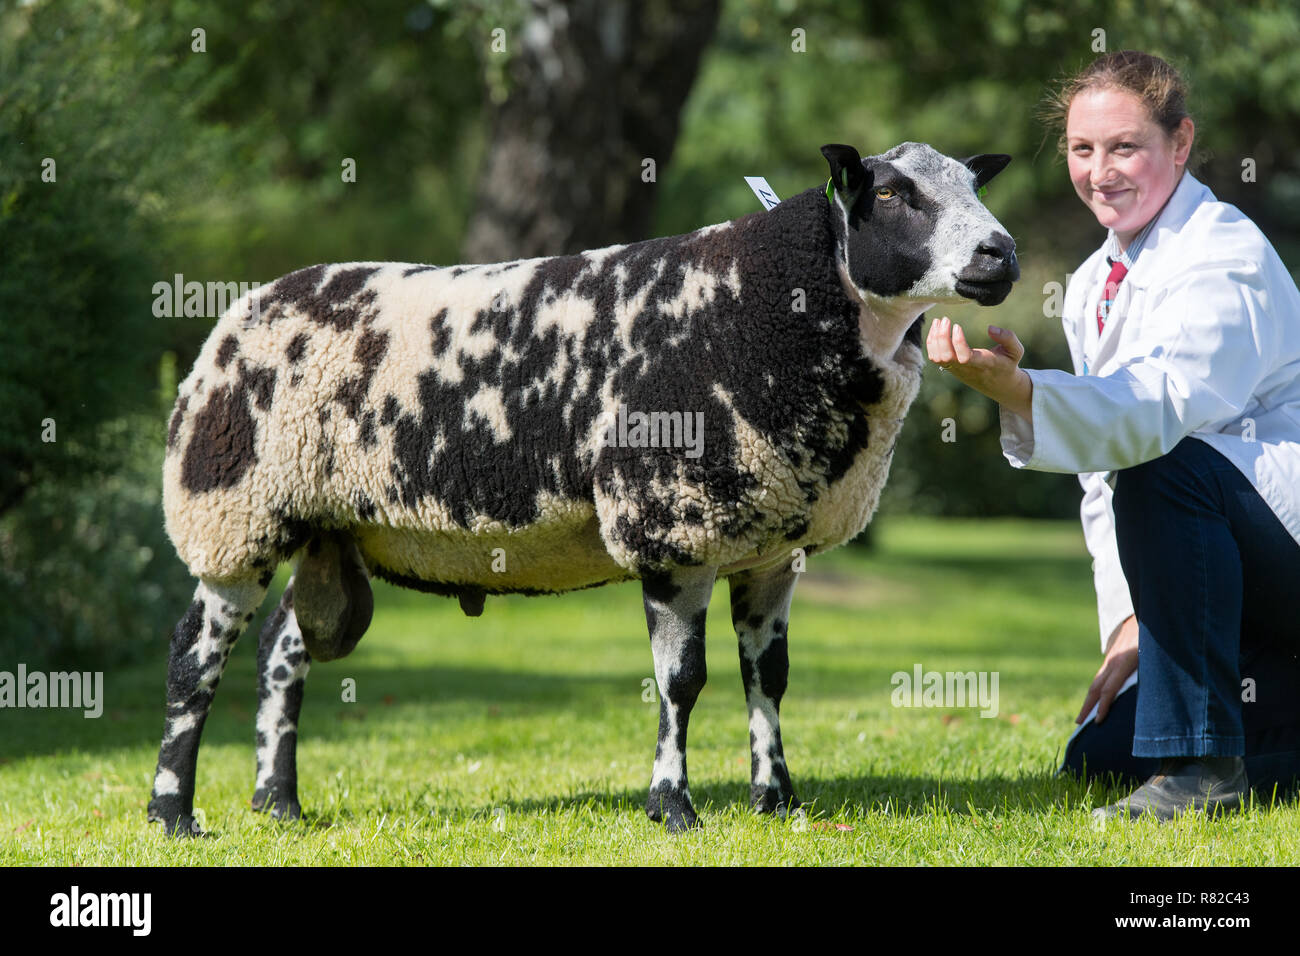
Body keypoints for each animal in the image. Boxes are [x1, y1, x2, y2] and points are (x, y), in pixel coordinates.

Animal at [148, 141, 1019, 836]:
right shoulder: (672, 525)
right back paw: (172, 813)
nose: (1001, 256)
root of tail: (247, 307)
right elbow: (682, 681)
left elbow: (767, 679)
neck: (770, 307)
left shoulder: (773, 547)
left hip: (326, 525)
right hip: (232, 511)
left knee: (281, 652)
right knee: (194, 657)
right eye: (893, 194)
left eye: (974, 186)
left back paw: (278, 804)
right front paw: (672, 807)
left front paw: (777, 800)